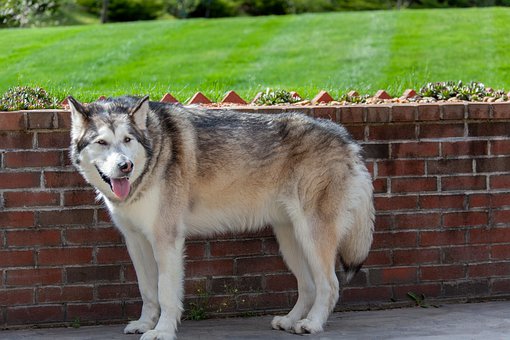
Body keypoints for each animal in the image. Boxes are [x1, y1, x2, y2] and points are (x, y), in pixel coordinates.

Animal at [67, 95, 374, 340]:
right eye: (102, 142)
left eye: (127, 140)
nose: (125, 166)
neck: (156, 148)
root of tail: (347, 139)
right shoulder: (136, 241)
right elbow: (147, 290)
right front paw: (144, 324)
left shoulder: (167, 241)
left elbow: (166, 292)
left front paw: (162, 332)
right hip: (290, 241)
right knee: (308, 286)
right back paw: (289, 320)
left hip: (312, 236)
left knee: (330, 285)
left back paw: (311, 324)